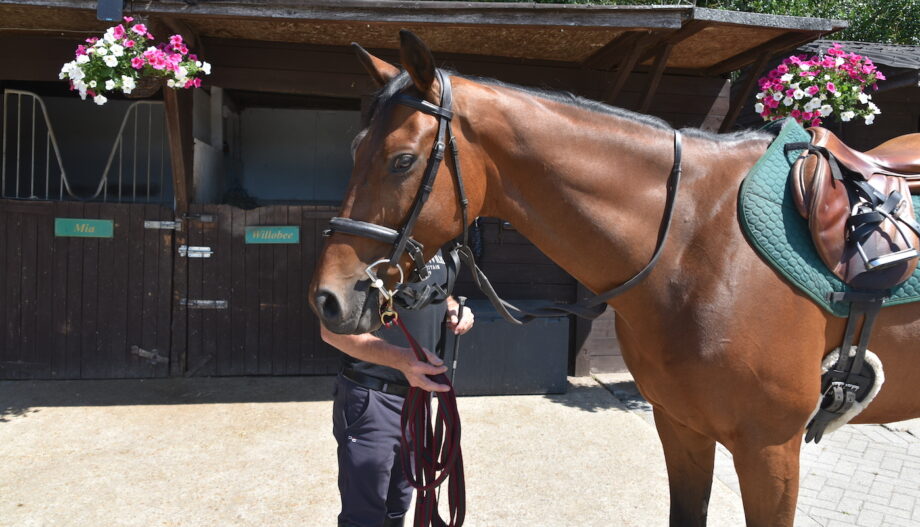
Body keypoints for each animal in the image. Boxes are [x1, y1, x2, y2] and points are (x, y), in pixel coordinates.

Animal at [309, 31, 920, 526]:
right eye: (356, 149)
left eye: (403, 161)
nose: (329, 299)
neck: (696, 243)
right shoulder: (682, 428)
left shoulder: (770, 450)